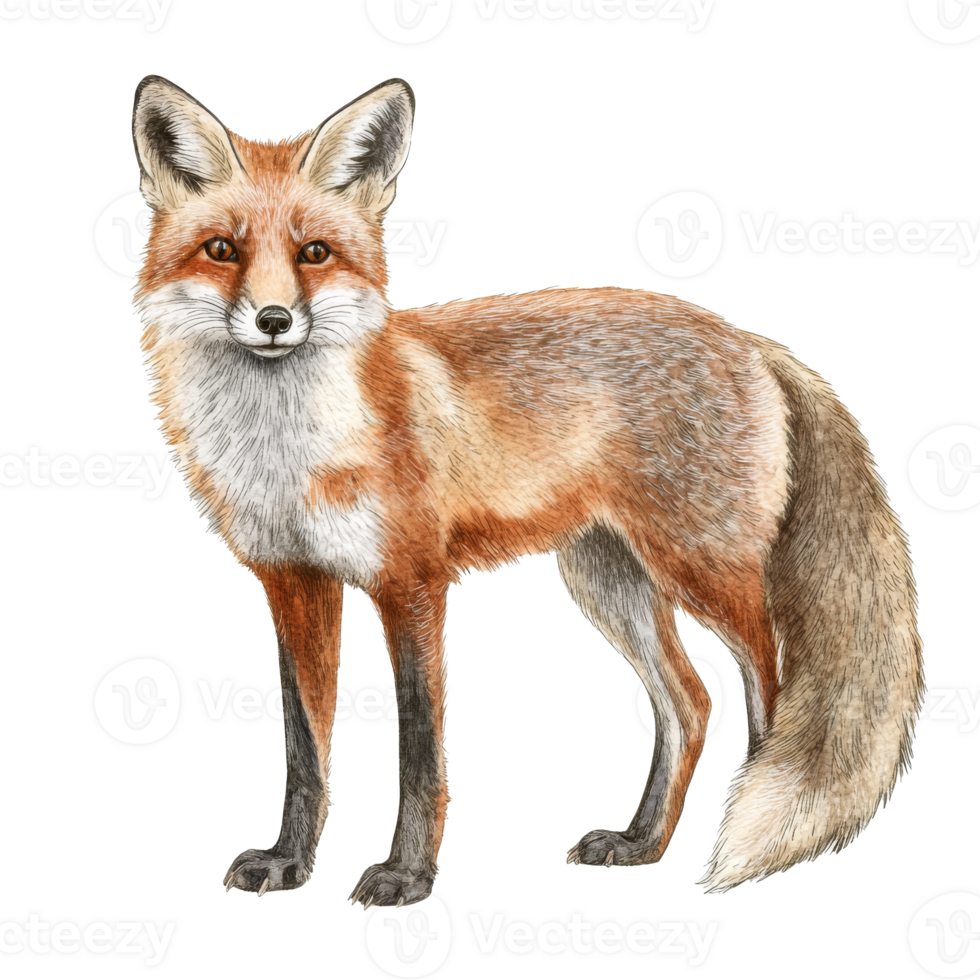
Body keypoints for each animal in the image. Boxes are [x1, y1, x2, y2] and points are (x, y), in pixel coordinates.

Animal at [129, 74, 925, 908]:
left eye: (313, 253)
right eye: (222, 250)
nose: (275, 319)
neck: (285, 449)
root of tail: (750, 339)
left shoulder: (411, 581)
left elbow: (420, 749)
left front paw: (406, 877)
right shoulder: (294, 581)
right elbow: (306, 751)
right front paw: (289, 863)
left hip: (706, 573)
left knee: (768, 698)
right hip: (606, 581)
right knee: (689, 704)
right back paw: (642, 844)